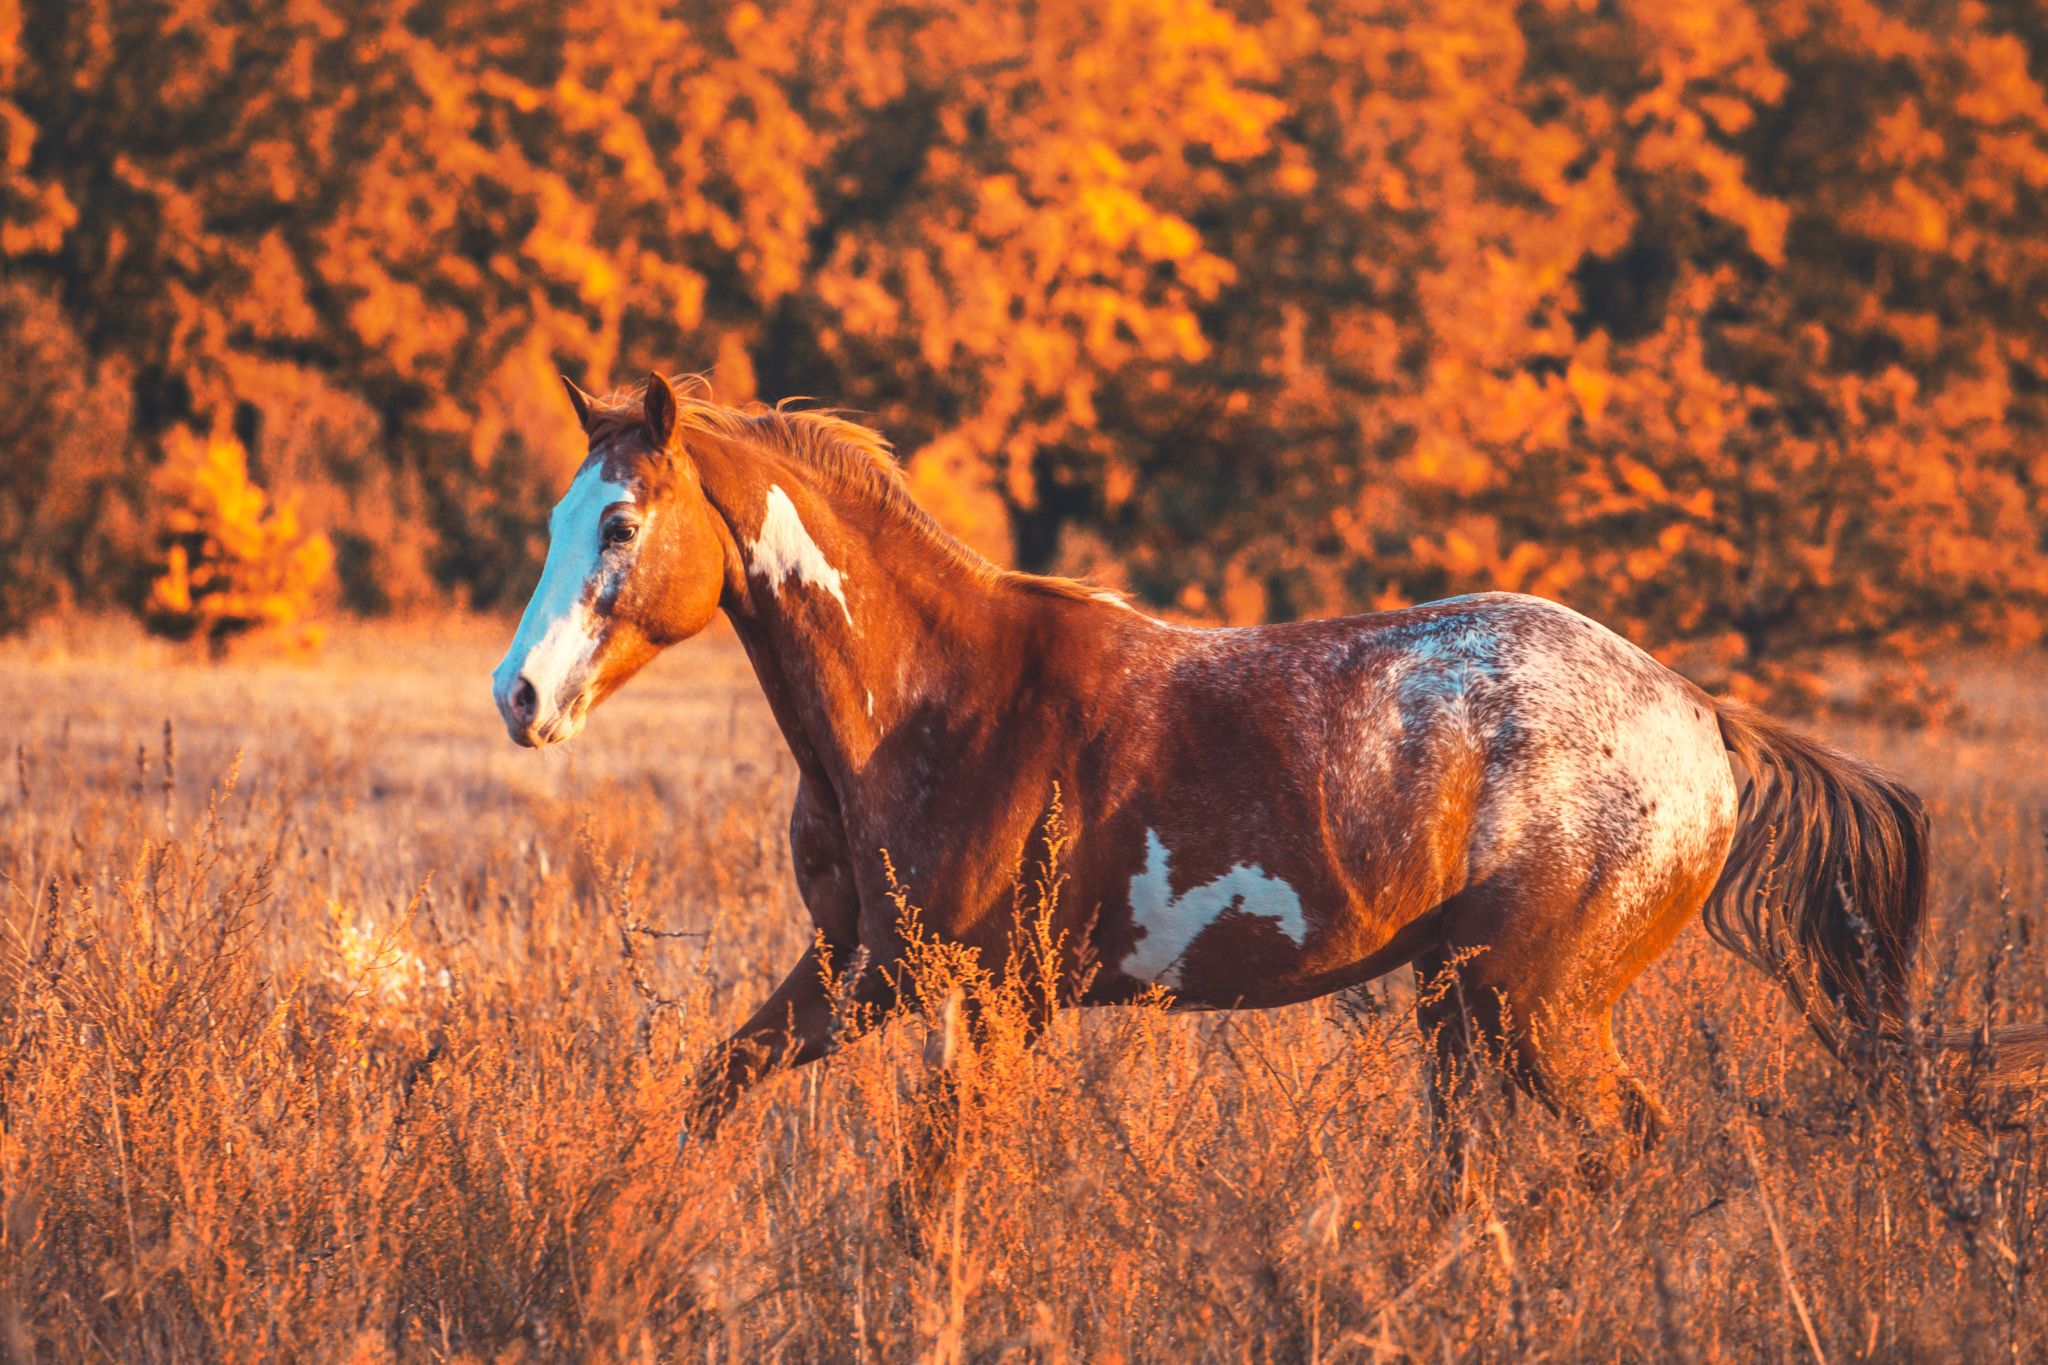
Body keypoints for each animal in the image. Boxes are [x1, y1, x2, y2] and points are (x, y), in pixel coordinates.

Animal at [492, 371, 2041, 1187]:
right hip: (1462, 1008)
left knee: (1635, 1156)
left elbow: (939, 1190)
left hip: (1535, 1008)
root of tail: (1702, 720)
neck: (937, 701)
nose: (519, 697)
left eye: (620, 522)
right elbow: (708, 1094)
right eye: (560, 513)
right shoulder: (860, 974)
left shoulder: (989, 1002)